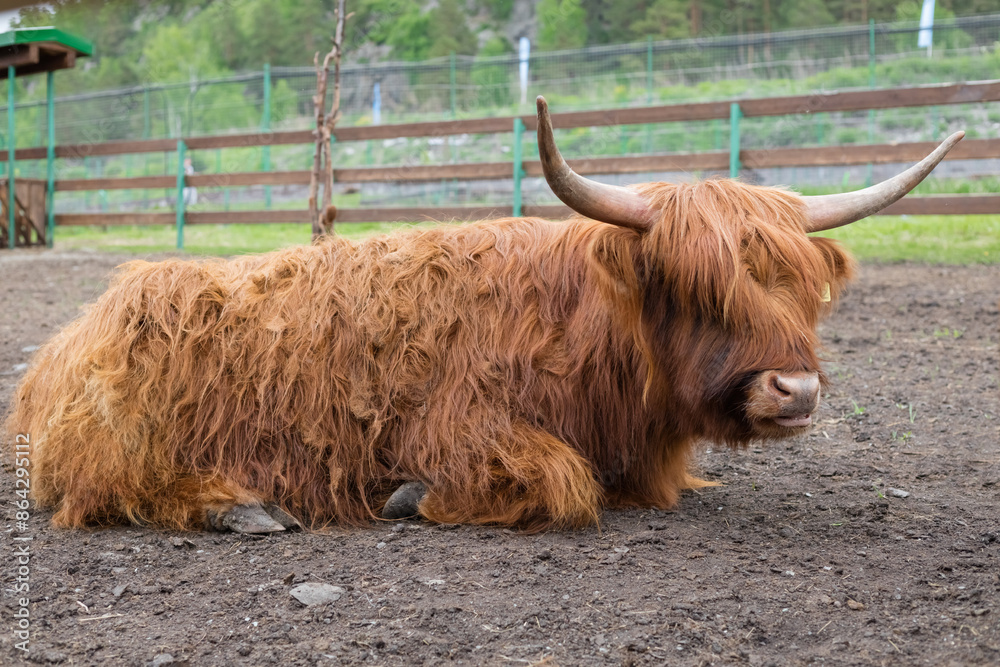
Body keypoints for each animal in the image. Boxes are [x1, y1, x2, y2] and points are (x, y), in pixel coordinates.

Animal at [5, 97, 962, 533]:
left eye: (803, 288)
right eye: (700, 290)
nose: (795, 390)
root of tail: (71, 335)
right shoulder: (461, 423)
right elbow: (565, 483)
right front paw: (412, 494)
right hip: (122, 436)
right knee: (106, 487)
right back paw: (238, 507)